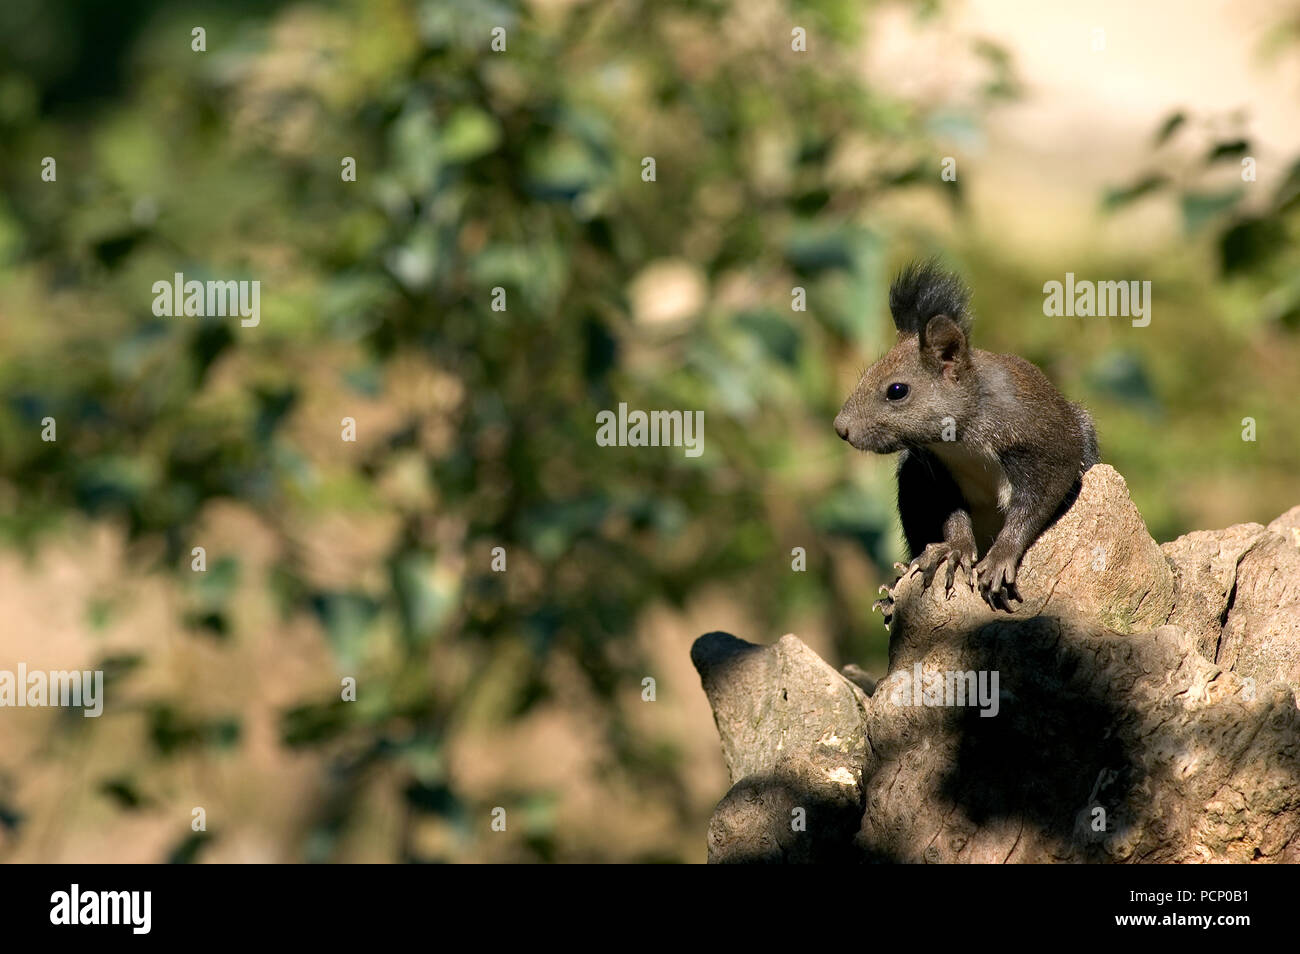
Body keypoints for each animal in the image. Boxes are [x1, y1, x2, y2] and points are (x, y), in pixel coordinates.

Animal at [833, 261, 1099, 612]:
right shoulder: (932, 471)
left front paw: (1001, 557)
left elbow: (1037, 501)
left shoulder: (1046, 444)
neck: (960, 441)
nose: (841, 427)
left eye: (897, 390)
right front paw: (955, 549)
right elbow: (950, 513)